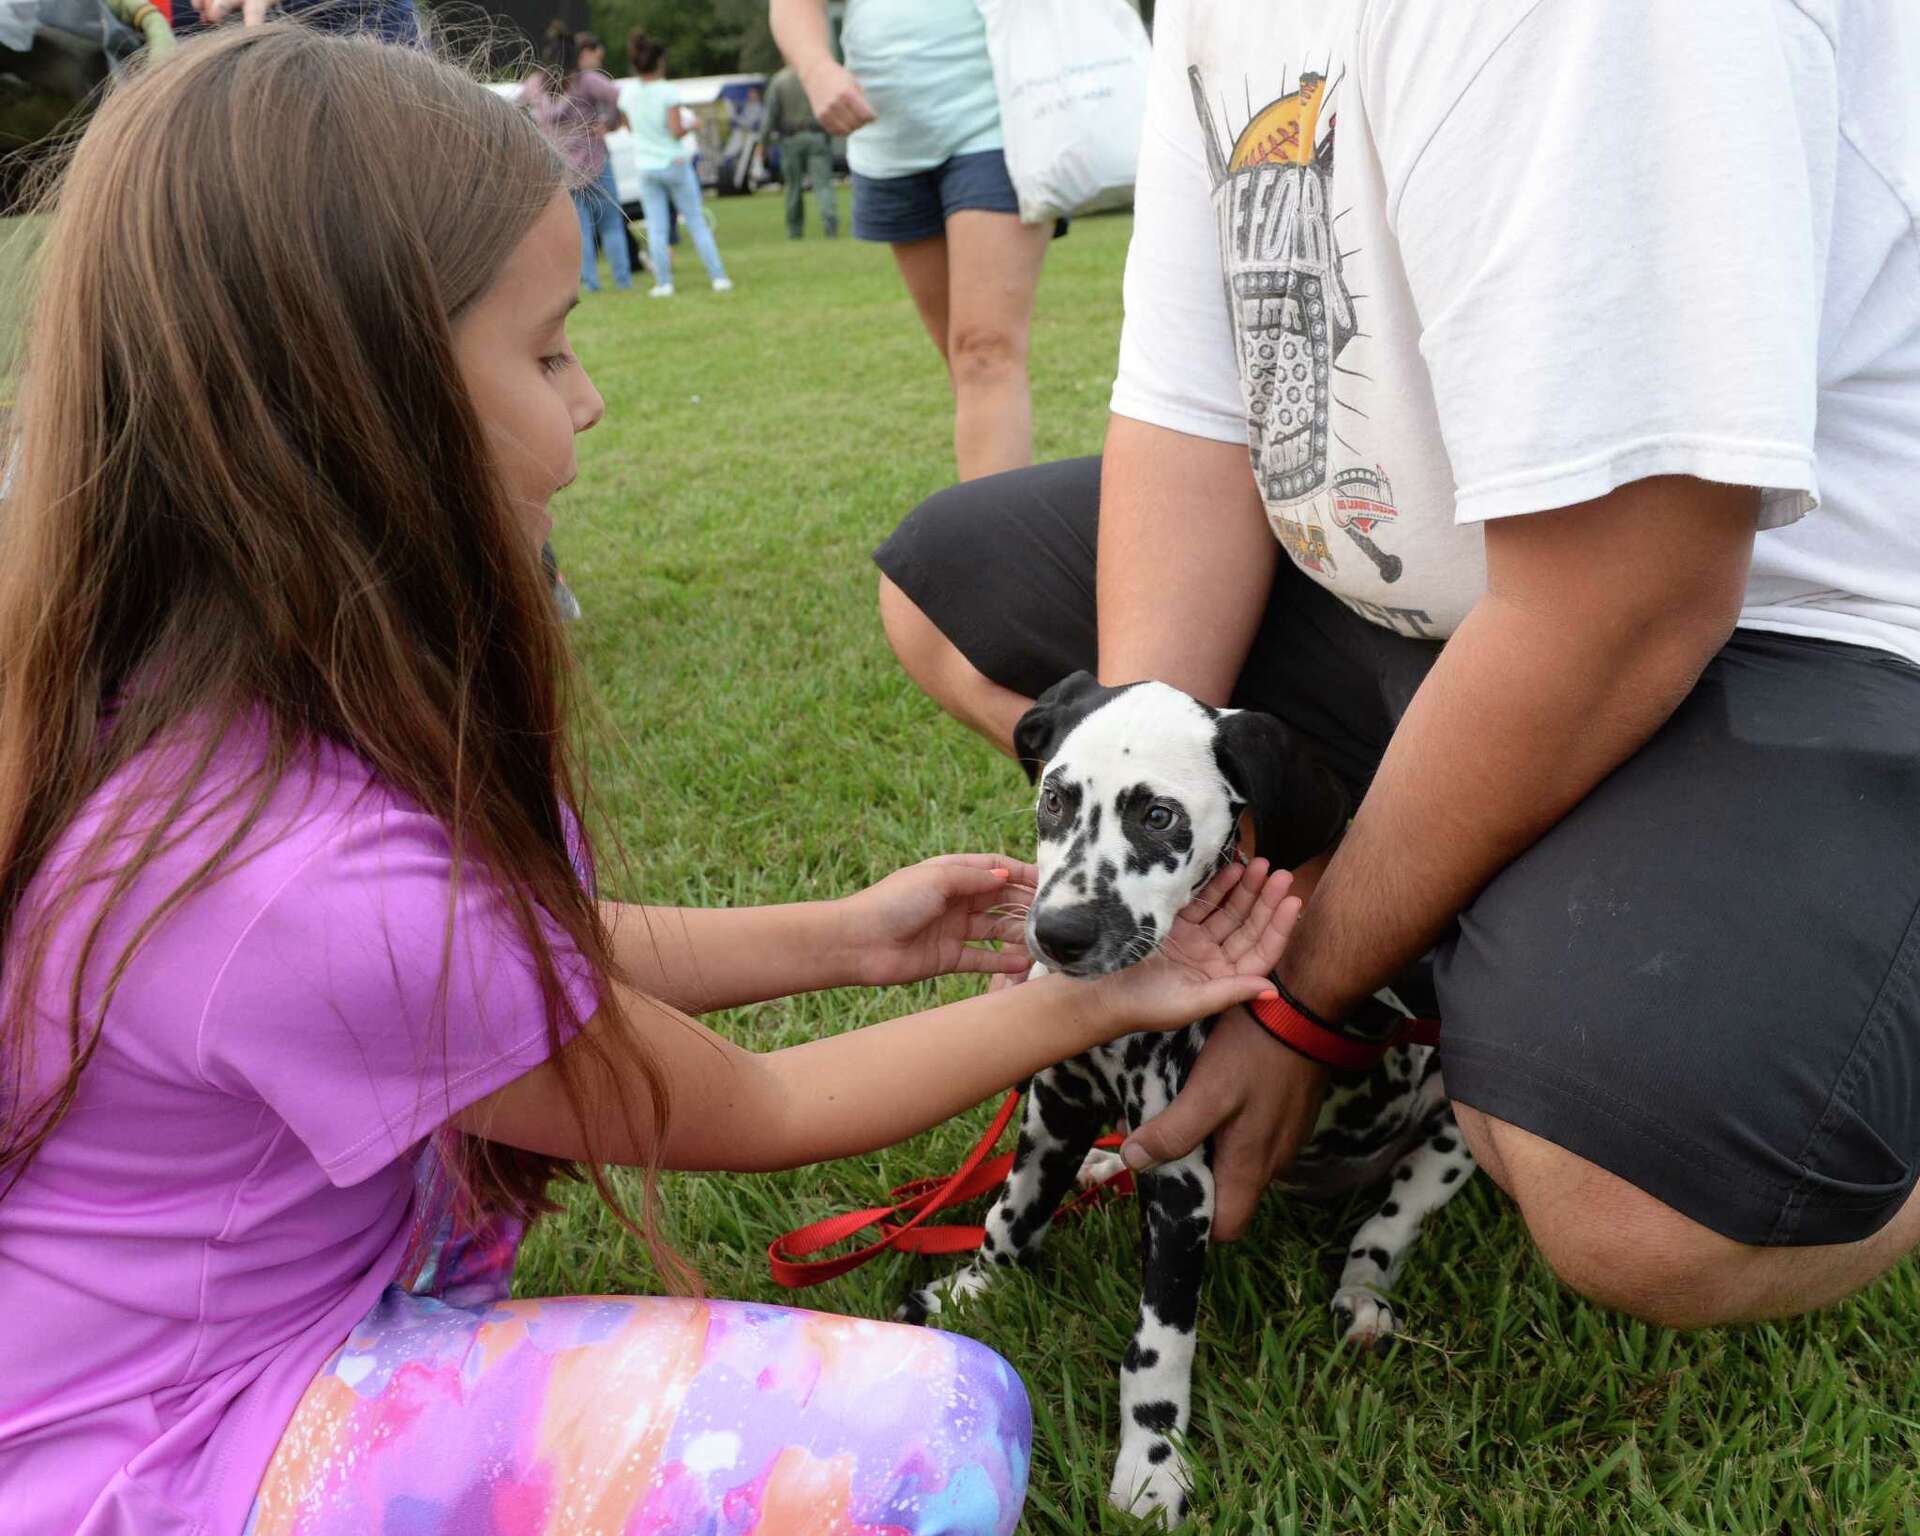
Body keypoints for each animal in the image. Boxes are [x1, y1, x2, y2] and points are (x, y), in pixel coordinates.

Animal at [898, 672, 1478, 1522]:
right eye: (1054, 799)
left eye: (1158, 817)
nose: (1059, 935)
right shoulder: (1055, 1110)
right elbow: (1009, 1216)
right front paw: (978, 1290)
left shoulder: (1182, 1188)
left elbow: (1157, 1347)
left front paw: (1151, 1465)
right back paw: (1103, 1170)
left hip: (1451, 1137)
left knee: (1389, 1224)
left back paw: (1364, 1295)